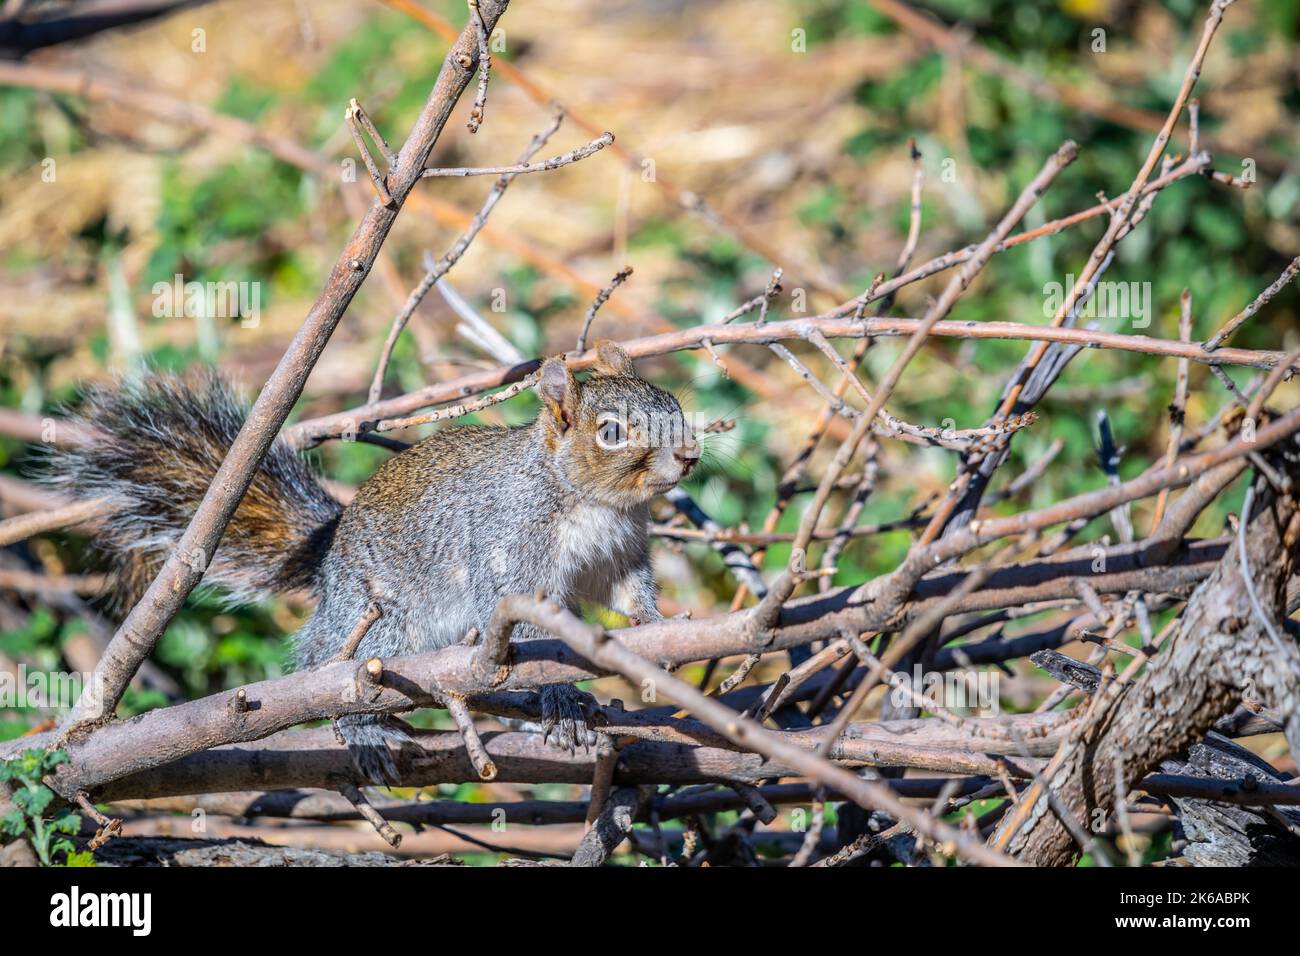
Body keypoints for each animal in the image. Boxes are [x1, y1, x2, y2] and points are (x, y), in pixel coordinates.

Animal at [46, 341, 700, 783]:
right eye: (611, 433)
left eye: (673, 405)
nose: (690, 454)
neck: (597, 506)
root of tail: (328, 567)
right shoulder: (512, 552)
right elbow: (528, 631)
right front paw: (562, 701)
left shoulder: (620, 556)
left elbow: (631, 598)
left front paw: (658, 630)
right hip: (380, 627)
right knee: (327, 668)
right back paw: (367, 727)